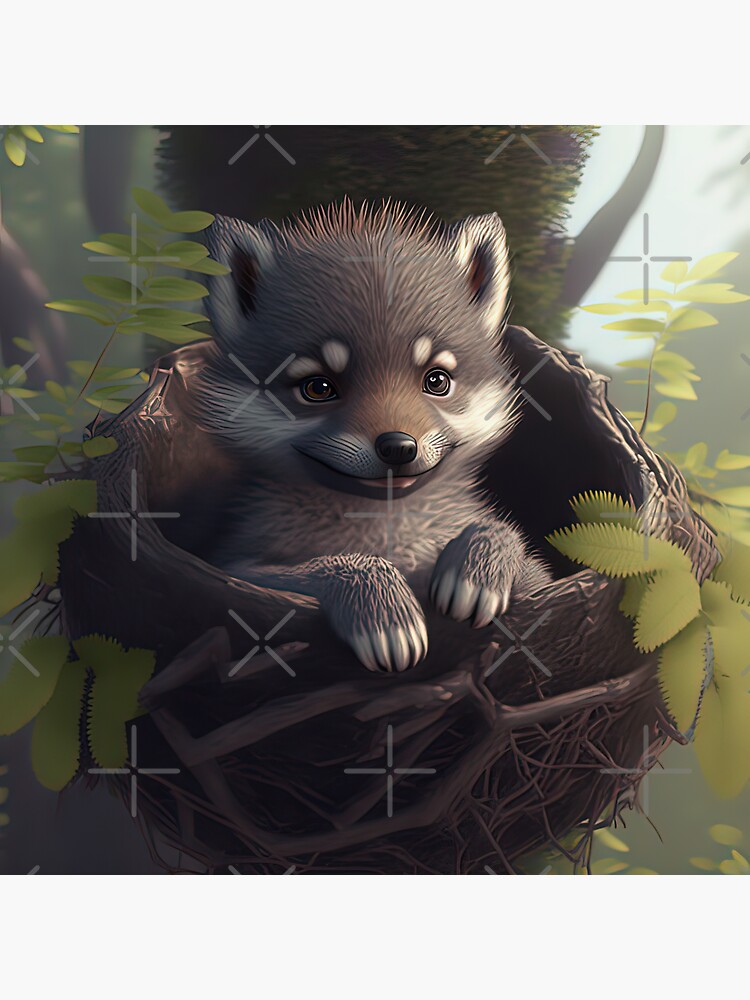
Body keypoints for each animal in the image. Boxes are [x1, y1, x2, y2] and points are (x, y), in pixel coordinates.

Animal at [197, 201, 551, 673]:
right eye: (318, 387)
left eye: (437, 381)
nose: (398, 446)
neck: (385, 524)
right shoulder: (234, 568)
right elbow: (321, 565)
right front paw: (383, 609)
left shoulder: (542, 581)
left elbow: (513, 544)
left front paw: (479, 566)